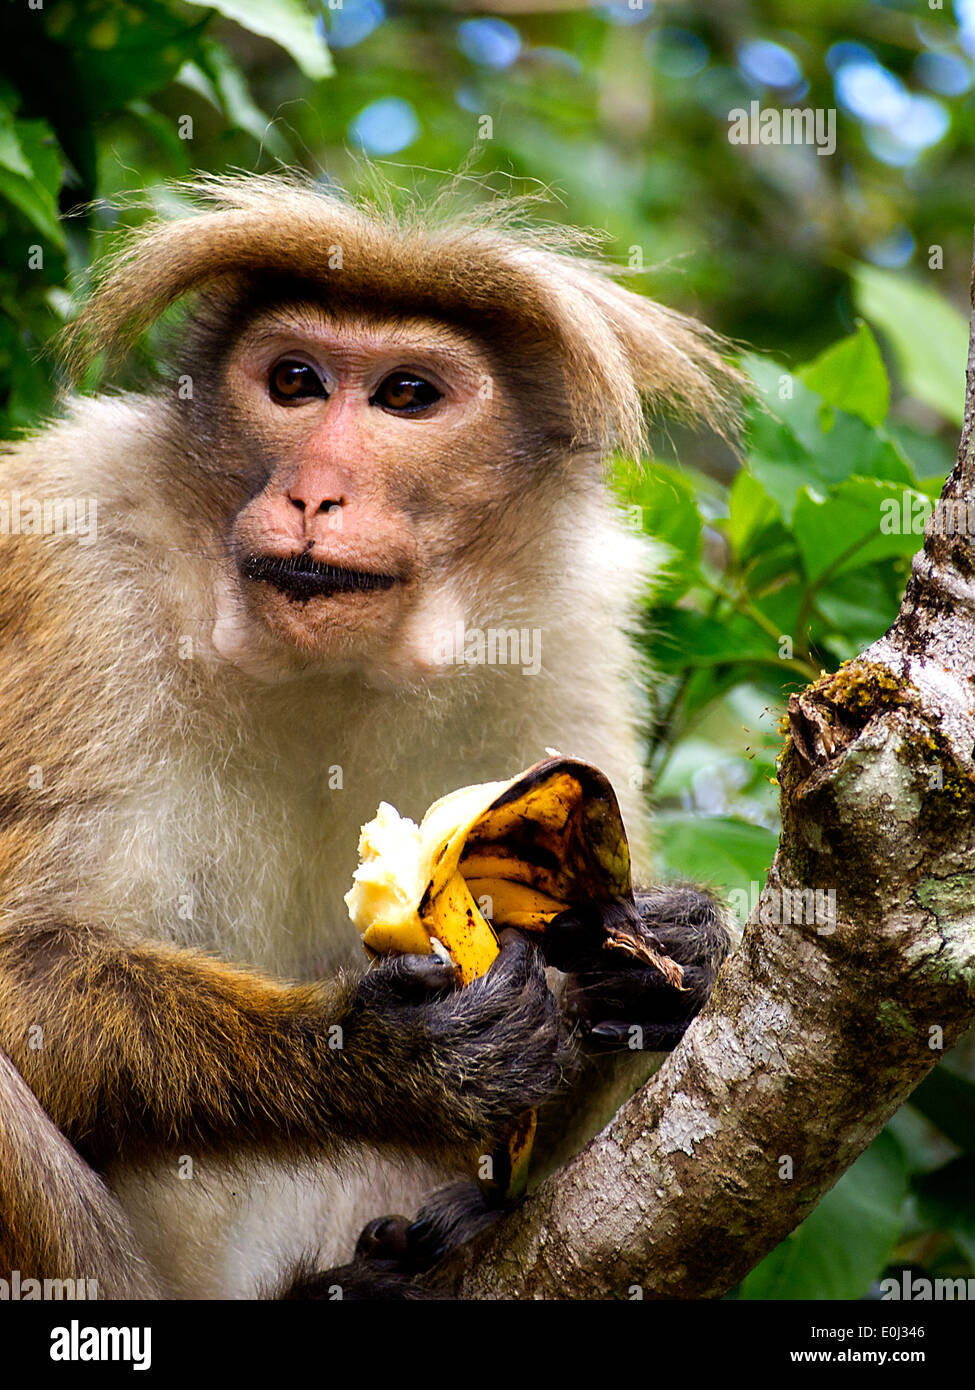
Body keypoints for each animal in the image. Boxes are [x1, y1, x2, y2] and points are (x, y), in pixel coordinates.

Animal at [0, 173, 740, 1299]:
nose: (315, 491)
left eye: (406, 397)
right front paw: (390, 1051)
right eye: (295, 382)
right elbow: (18, 965)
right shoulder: (68, 556)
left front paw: (668, 956)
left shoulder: (569, 621)